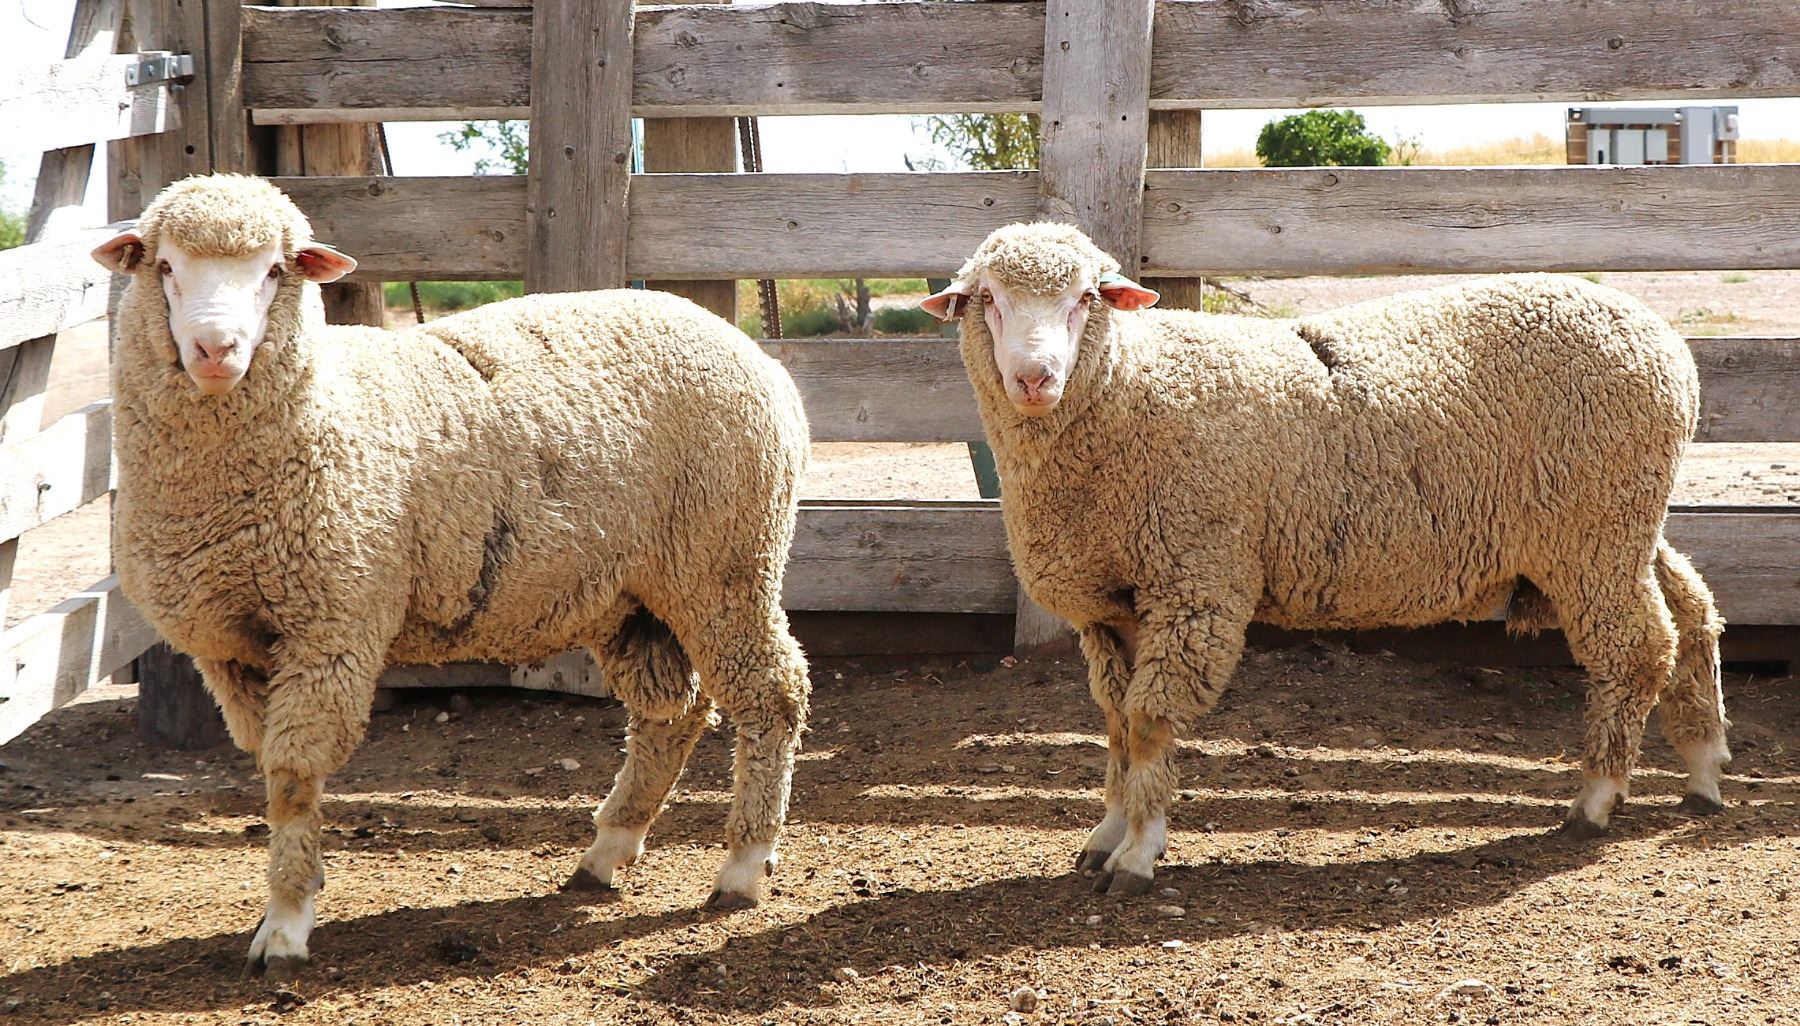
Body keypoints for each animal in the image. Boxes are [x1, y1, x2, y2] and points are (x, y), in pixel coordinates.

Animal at [92, 174, 813, 977]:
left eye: (275, 272)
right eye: (164, 267)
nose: (216, 348)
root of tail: (752, 351)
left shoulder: (332, 628)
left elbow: (295, 776)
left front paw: (285, 924)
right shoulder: (230, 649)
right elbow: (275, 778)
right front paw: (295, 890)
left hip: (727, 560)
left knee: (773, 693)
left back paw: (744, 865)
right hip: (632, 595)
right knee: (670, 715)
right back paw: (607, 850)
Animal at [922, 222, 1729, 896]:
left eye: (1086, 298)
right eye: (986, 299)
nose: (1035, 378)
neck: (1131, 386)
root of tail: (1670, 347)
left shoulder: (1195, 581)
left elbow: (1149, 723)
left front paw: (1139, 855)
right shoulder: (1112, 605)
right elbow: (1118, 726)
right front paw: (1106, 834)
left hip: (1593, 528)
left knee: (1638, 647)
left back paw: (1595, 799)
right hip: (1624, 524)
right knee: (1692, 610)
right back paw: (1704, 766)